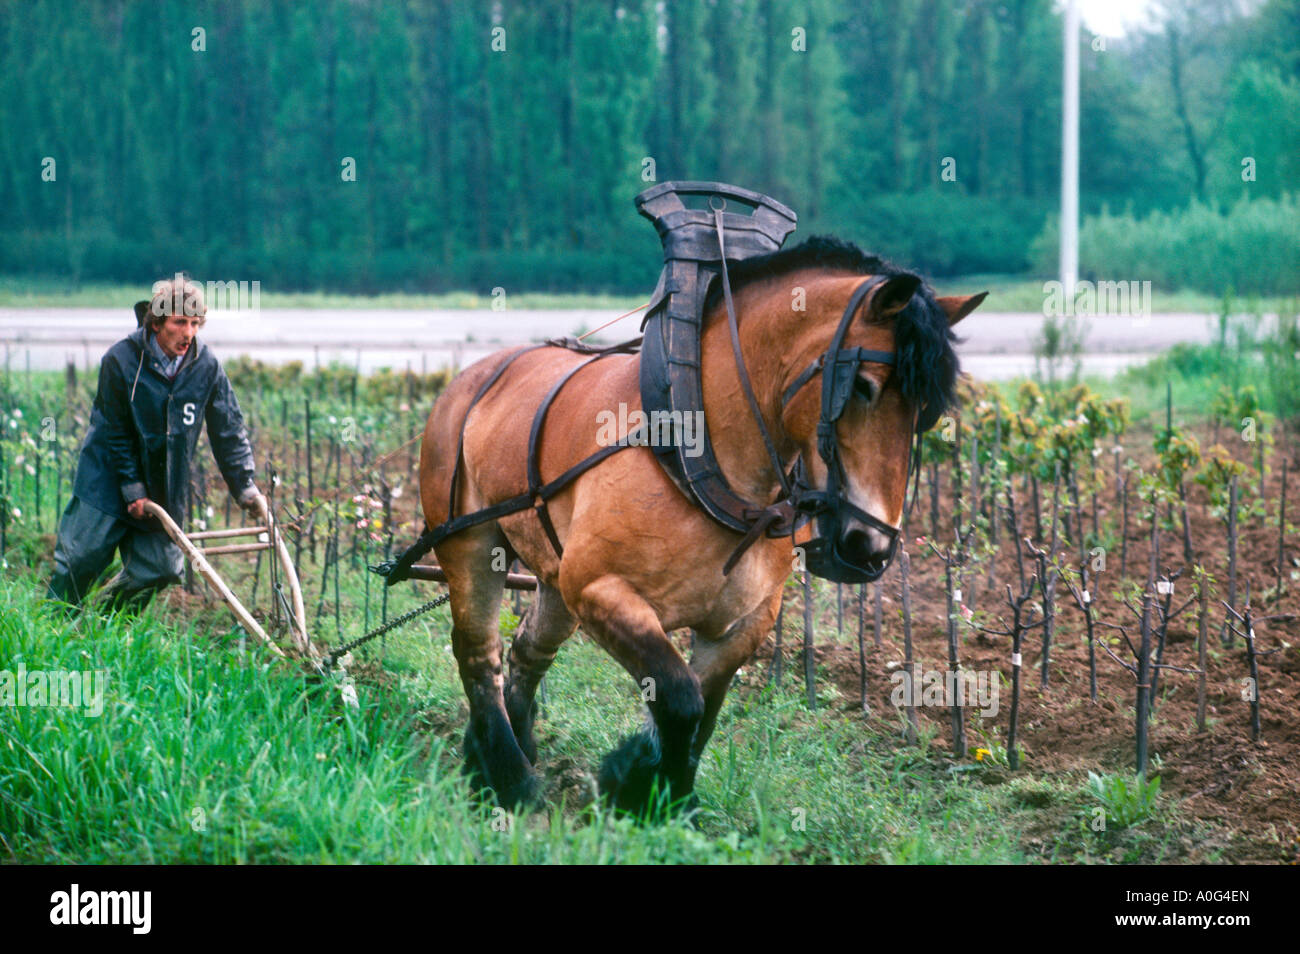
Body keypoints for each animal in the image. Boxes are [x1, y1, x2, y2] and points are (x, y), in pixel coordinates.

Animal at [415, 236, 984, 816]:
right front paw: (636, 784)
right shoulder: (601, 591)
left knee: (529, 651)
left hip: (554, 577)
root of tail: (474, 377)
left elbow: (704, 711)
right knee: (478, 653)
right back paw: (510, 778)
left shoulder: (743, 622)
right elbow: (680, 697)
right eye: (864, 387)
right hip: (471, 544)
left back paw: (502, 751)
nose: (869, 548)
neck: (693, 459)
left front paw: (665, 793)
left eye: (926, 411)